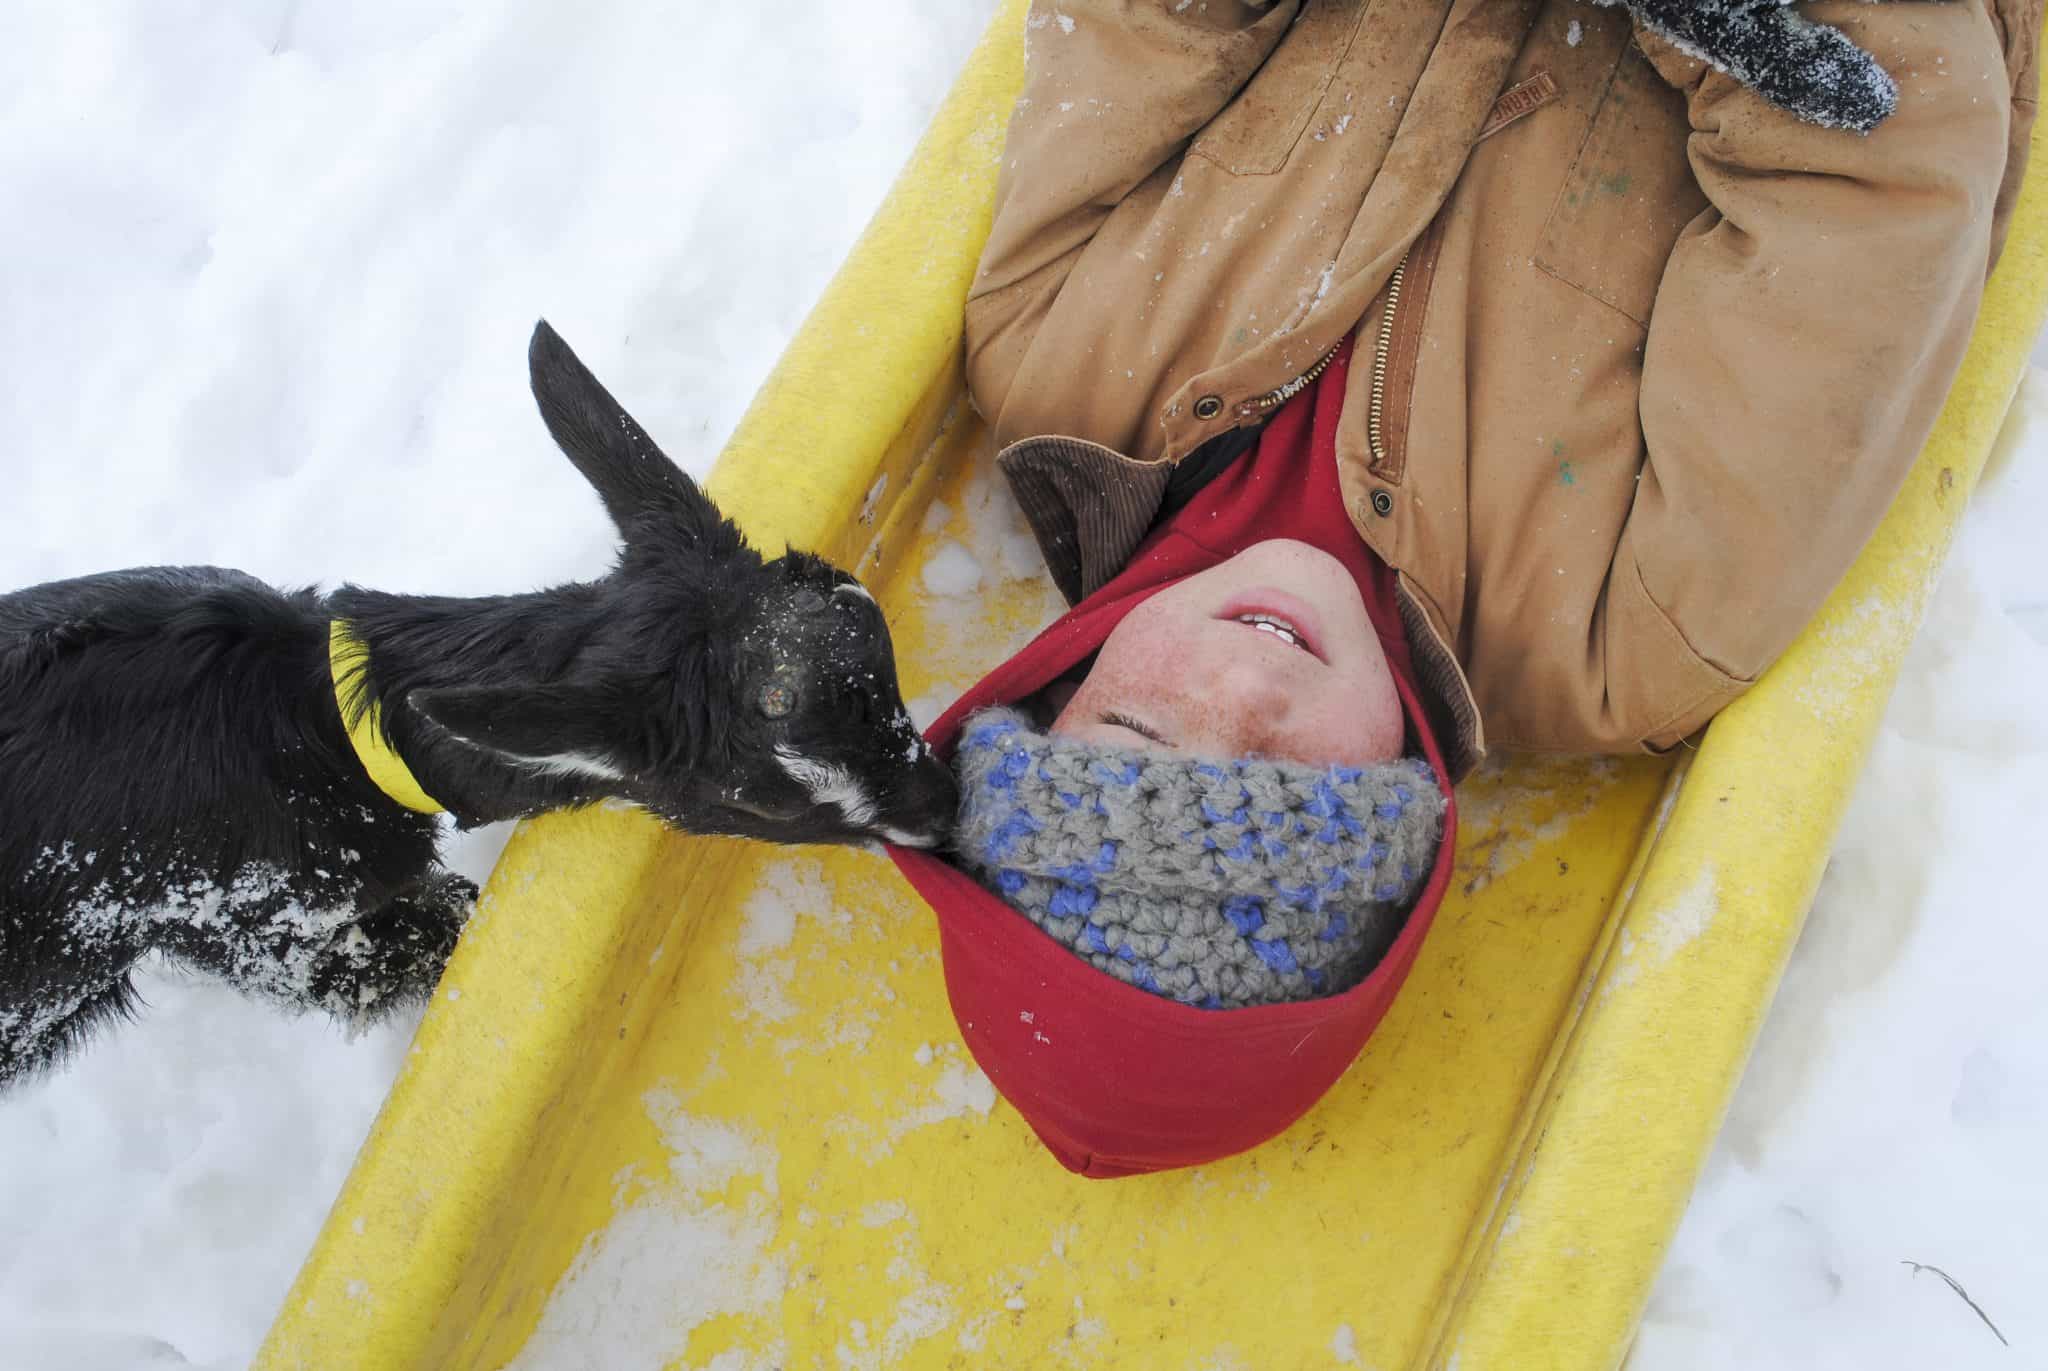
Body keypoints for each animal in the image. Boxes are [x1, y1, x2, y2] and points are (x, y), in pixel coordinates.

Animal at [0, 320, 955, 1085]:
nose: (942, 807)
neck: (322, 737)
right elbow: (429, 937)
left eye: (869, 629)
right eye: (758, 802)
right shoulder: (269, 930)